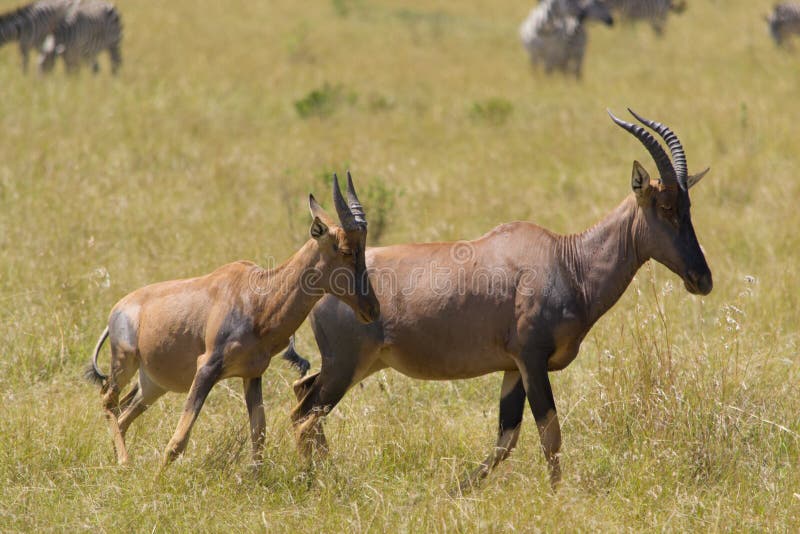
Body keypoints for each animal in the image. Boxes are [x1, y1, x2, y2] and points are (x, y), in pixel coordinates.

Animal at [86, 175, 380, 471]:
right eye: (345, 250)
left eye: (363, 248)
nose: (373, 309)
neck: (258, 297)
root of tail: (119, 309)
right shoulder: (206, 368)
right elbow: (178, 441)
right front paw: (158, 480)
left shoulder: (252, 374)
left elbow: (259, 435)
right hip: (124, 363)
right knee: (108, 401)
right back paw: (124, 461)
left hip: (153, 385)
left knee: (124, 413)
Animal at [289, 110, 712, 491]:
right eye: (666, 207)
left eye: (689, 206)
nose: (702, 279)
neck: (566, 259)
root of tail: (322, 292)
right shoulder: (531, 359)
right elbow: (549, 434)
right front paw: (557, 497)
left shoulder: (512, 368)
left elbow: (506, 438)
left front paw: (456, 490)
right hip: (345, 366)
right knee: (305, 415)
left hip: (357, 365)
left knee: (302, 398)